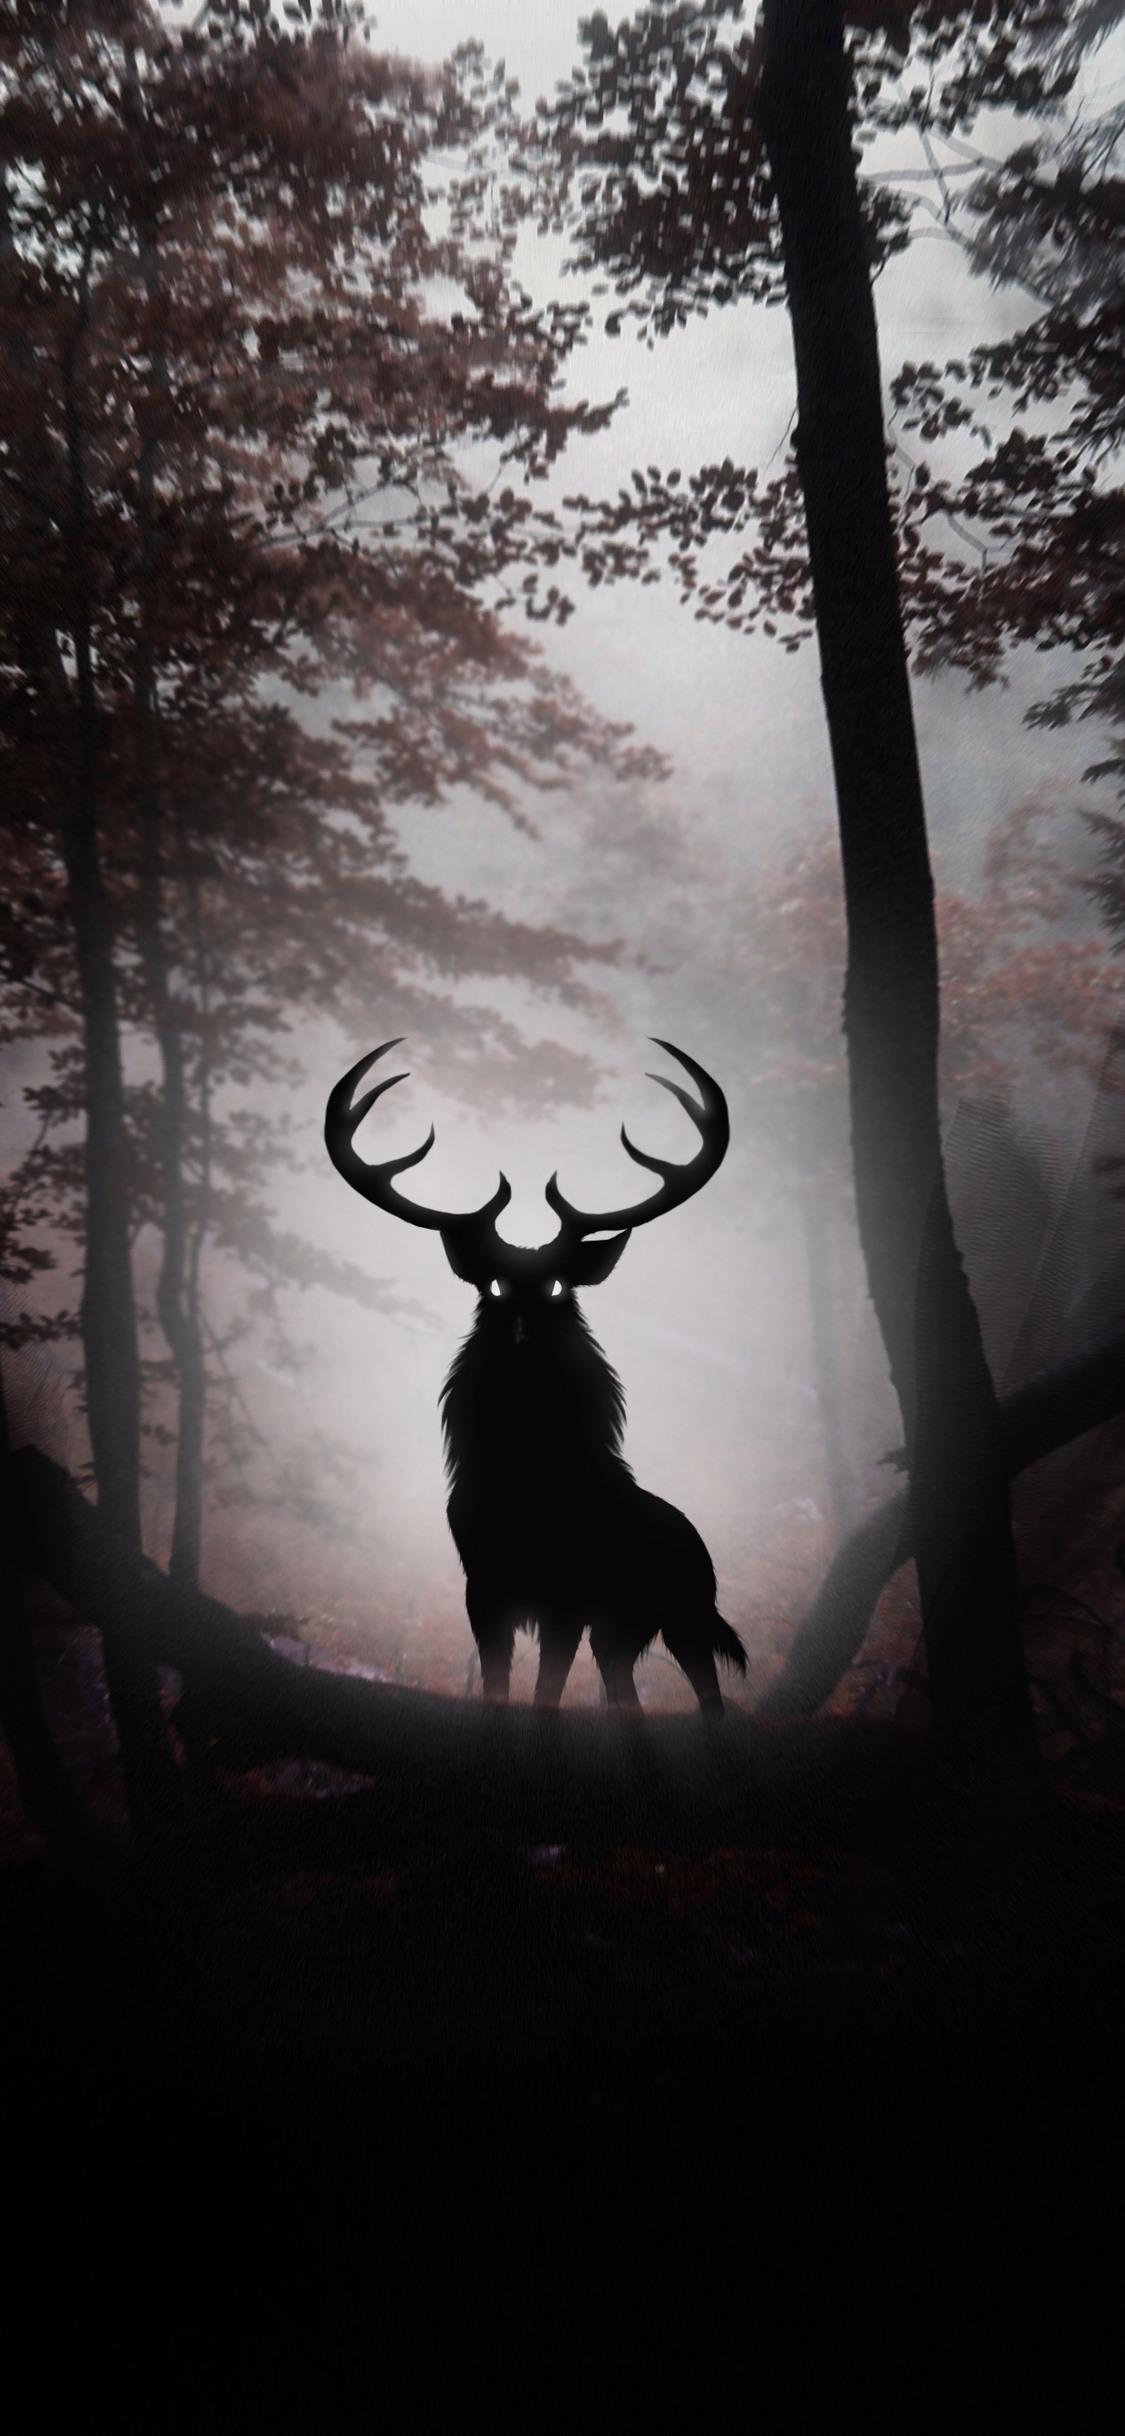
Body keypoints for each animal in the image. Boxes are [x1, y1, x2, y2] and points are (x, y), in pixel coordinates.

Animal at [324, 1039, 746, 1716]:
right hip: (625, 1633)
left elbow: (546, 1696)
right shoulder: (483, 1587)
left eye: (555, 1286)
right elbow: (497, 1688)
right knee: (627, 1698)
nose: (522, 1330)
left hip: (684, 1615)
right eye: (494, 1285)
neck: (525, 1477)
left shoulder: (566, 1598)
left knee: (709, 1699)